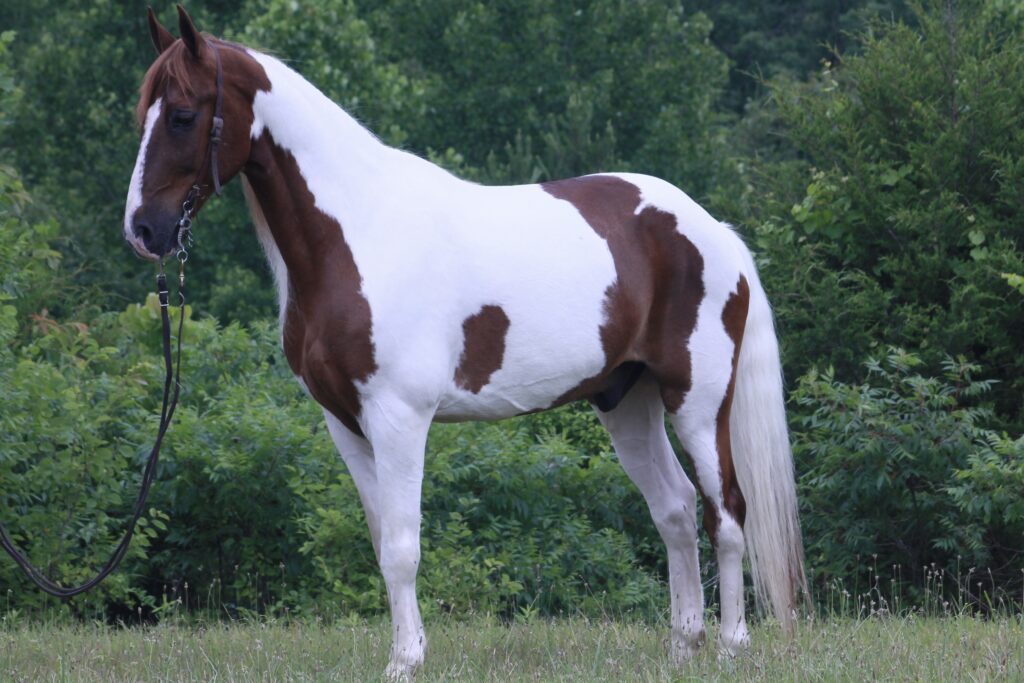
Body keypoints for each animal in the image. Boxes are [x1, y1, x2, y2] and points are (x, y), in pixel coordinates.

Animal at [125, 7, 805, 677]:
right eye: (142, 114)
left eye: (183, 115)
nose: (142, 231)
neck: (358, 235)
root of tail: (714, 230)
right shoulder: (343, 421)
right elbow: (381, 540)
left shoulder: (399, 417)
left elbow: (402, 547)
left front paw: (405, 661)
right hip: (626, 402)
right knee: (675, 510)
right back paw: (683, 646)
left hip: (698, 400)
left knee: (726, 512)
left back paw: (732, 644)